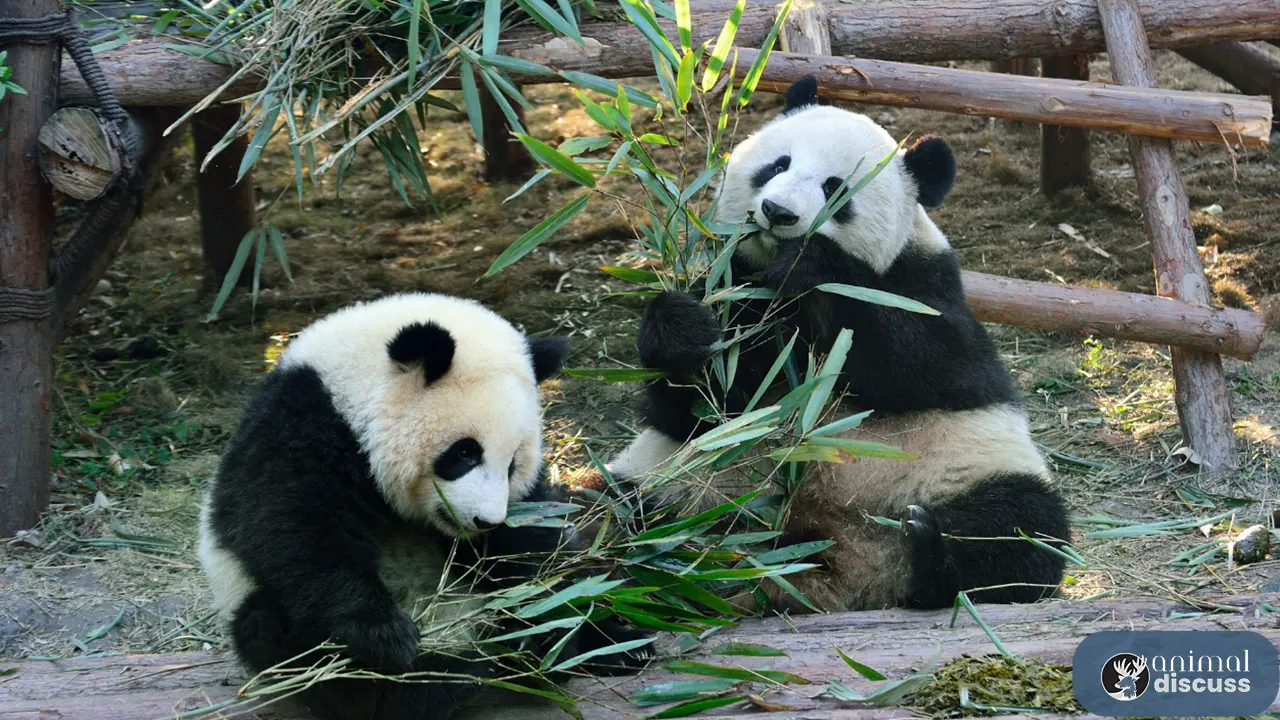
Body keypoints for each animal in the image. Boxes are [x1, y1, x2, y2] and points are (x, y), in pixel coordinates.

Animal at [198, 292, 648, 720]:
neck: (351, 386)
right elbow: (289, 527)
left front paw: (544, 623)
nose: (485, 521)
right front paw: (383, 634)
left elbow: (533, 548)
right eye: (464, 453)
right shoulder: (300, 422)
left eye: (512, 464)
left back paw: (607, 644)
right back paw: (446, 677)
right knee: (299, 650)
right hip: (260, 614)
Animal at [600, 75, 1070, 614]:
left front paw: (813, 265)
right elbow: (703, 407)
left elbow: (929, 363)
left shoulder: (926, 284)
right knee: (614, 515)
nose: (778, 212)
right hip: (685, 485)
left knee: (1017, 534)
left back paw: (929, 551)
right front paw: (685, 330)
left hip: (962, 468)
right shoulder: (739, 285)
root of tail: (845, 573)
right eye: (777, 165)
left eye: (835, 189)